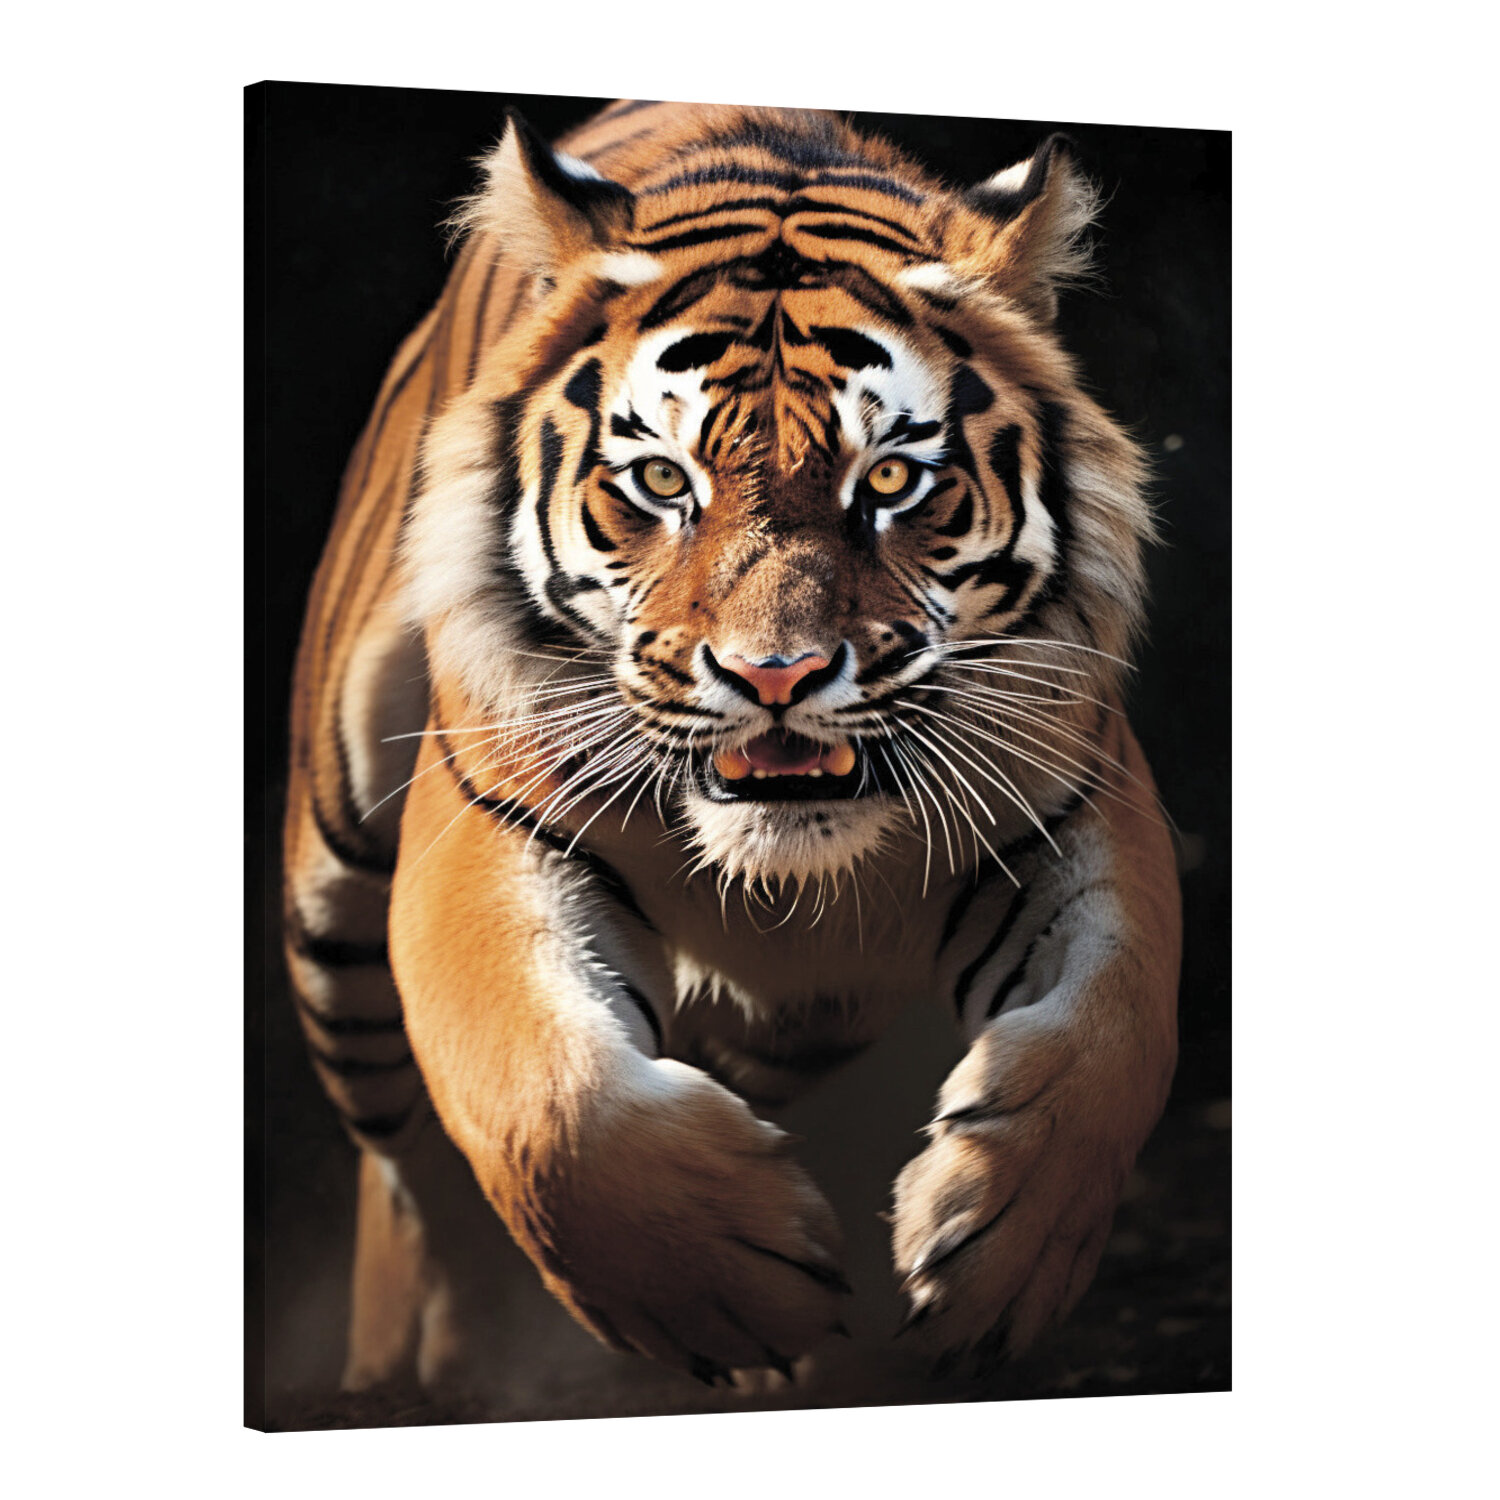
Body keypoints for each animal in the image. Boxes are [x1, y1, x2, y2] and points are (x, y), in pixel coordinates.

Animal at [282, 97, 1181, 1396]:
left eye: (890, 478)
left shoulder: (1073, 805)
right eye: (665, 480)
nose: (776, 676)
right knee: (408, 1174)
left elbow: (1116, 1024)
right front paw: (722, 1288)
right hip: (336, 893)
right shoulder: (495, 828)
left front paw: (1000, 1250)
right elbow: (551, 1093)